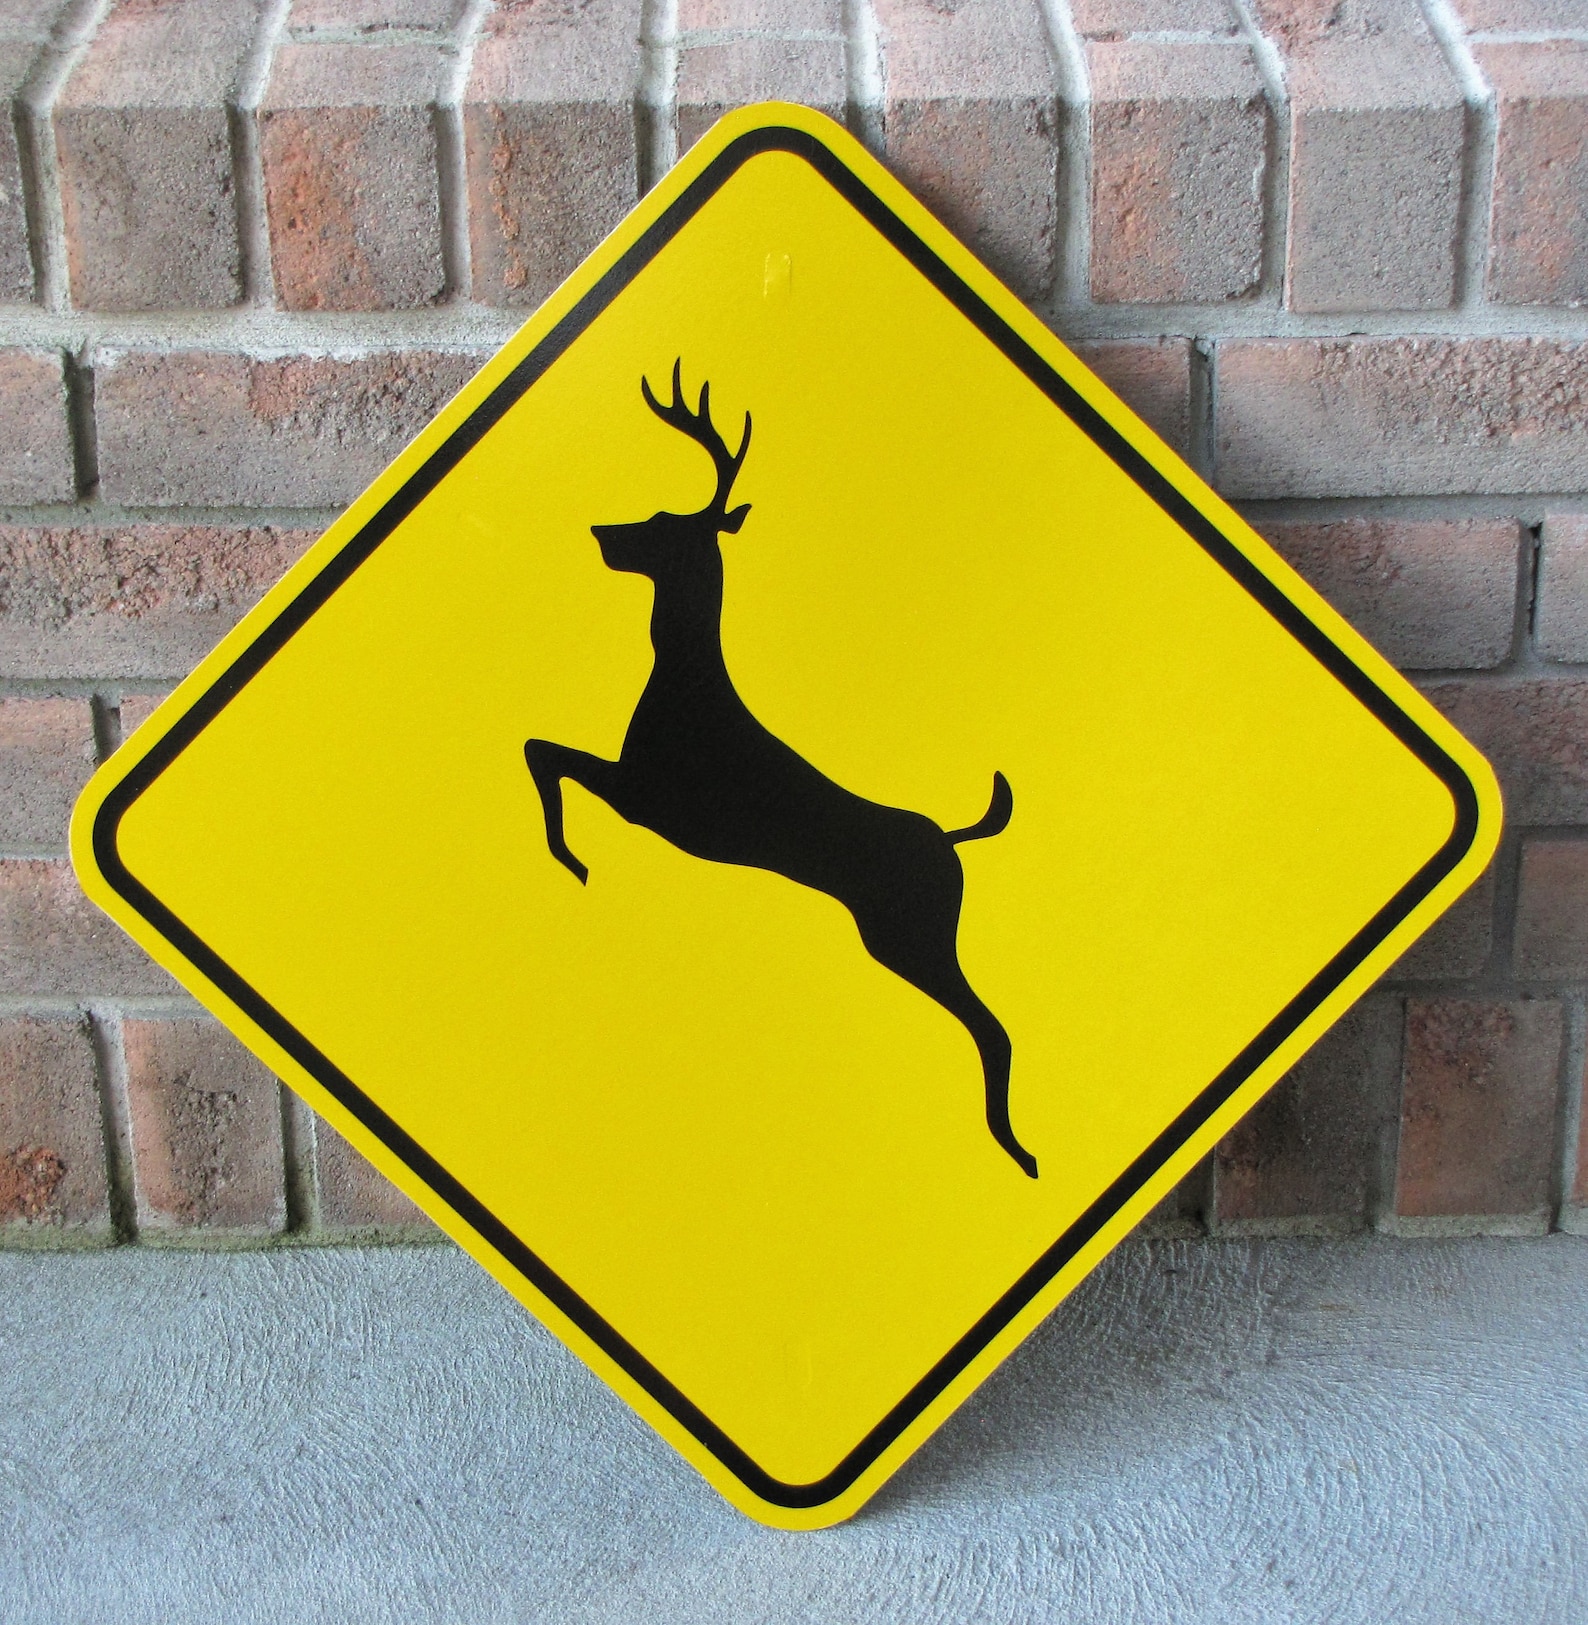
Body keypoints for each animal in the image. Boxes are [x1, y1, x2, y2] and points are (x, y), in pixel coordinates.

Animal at [524, 363, 1037, 1179]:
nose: (603, 533)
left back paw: (1015, 1149)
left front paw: (570, 859)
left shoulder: (649, 797)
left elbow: (542, 753)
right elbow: (541, 750)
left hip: (911, 934)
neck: (685, 680)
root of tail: (954, 840)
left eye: (664, 521)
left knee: (993, 1026)